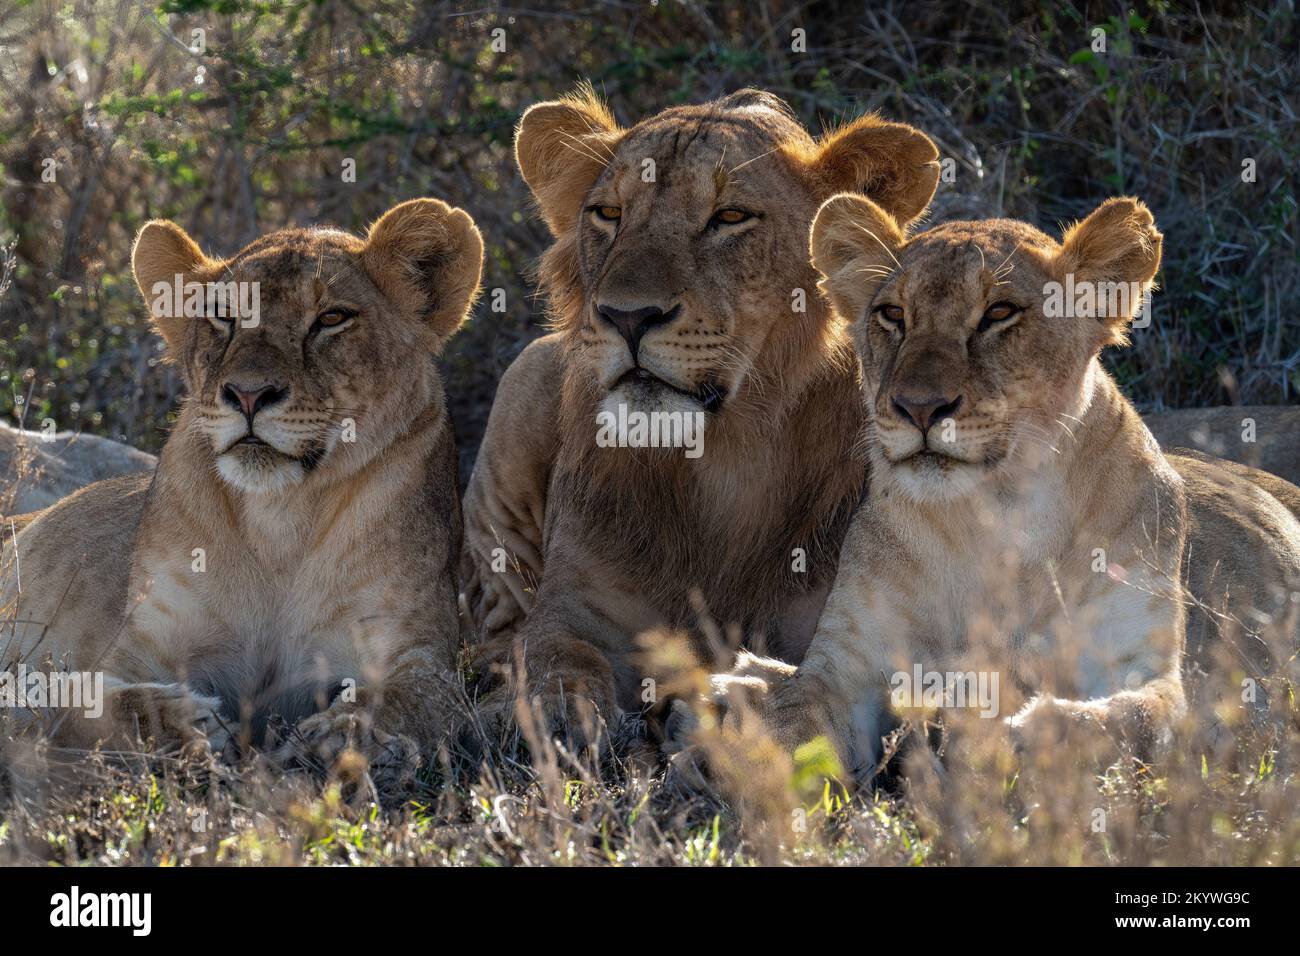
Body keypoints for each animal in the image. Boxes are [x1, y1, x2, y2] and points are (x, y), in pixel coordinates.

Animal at [0, 198, 482, 791]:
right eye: (223, 316)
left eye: (331, 318)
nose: (249, 394)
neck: (280, 517)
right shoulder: (137, 649)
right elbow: (78, 699)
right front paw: (187, 725)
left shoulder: (416, 652)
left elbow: (406, 700)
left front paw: (336, 741)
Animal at [459, 86, 943, 742]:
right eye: (607, 214)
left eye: (730, 218)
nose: (627, 316)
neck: (724, 461)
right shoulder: (576, 610)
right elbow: (557, 660)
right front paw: (557, 719)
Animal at [671, 195, 1300, 782]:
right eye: (892, 314)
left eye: (999, 313)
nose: (919, 407)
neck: (996, 510)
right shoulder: (844, 666)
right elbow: (794, 727)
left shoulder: (1145, 670)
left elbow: (1121, 720)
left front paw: (1005, 737)